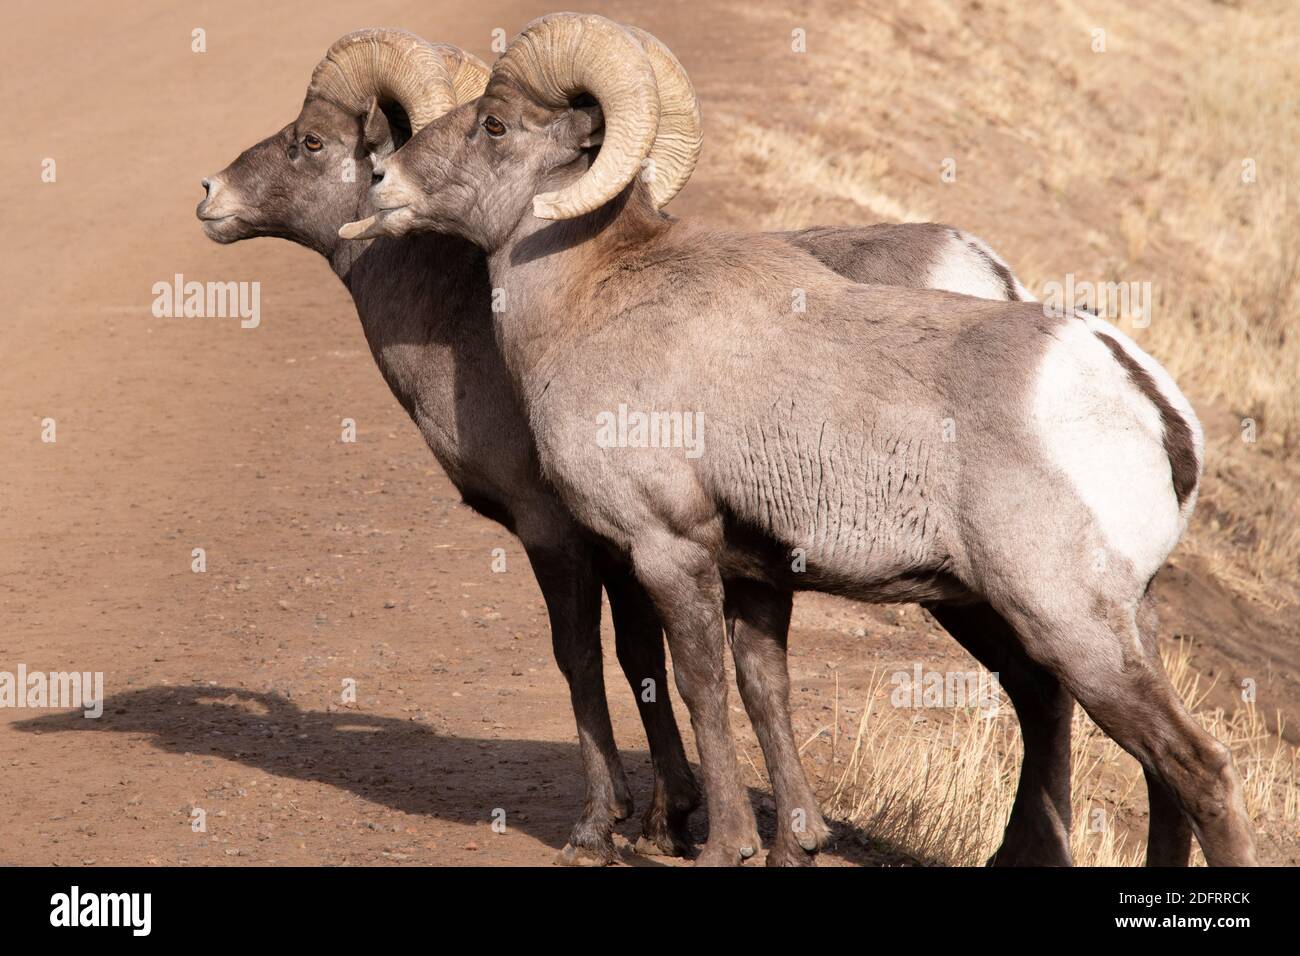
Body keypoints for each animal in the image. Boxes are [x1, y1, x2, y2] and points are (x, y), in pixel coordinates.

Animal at [341, 12, 1257, 867]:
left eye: (495, 124)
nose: (383, 179)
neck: (589, 301)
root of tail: (1147, 401)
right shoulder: (755, 574)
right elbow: (759, 689)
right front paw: (787, 843)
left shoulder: (665, 548)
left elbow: (699, 688)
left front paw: (723, 845)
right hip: (1120, 621)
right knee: (1158, 773)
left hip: (1066, 623)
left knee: (1197, 768)